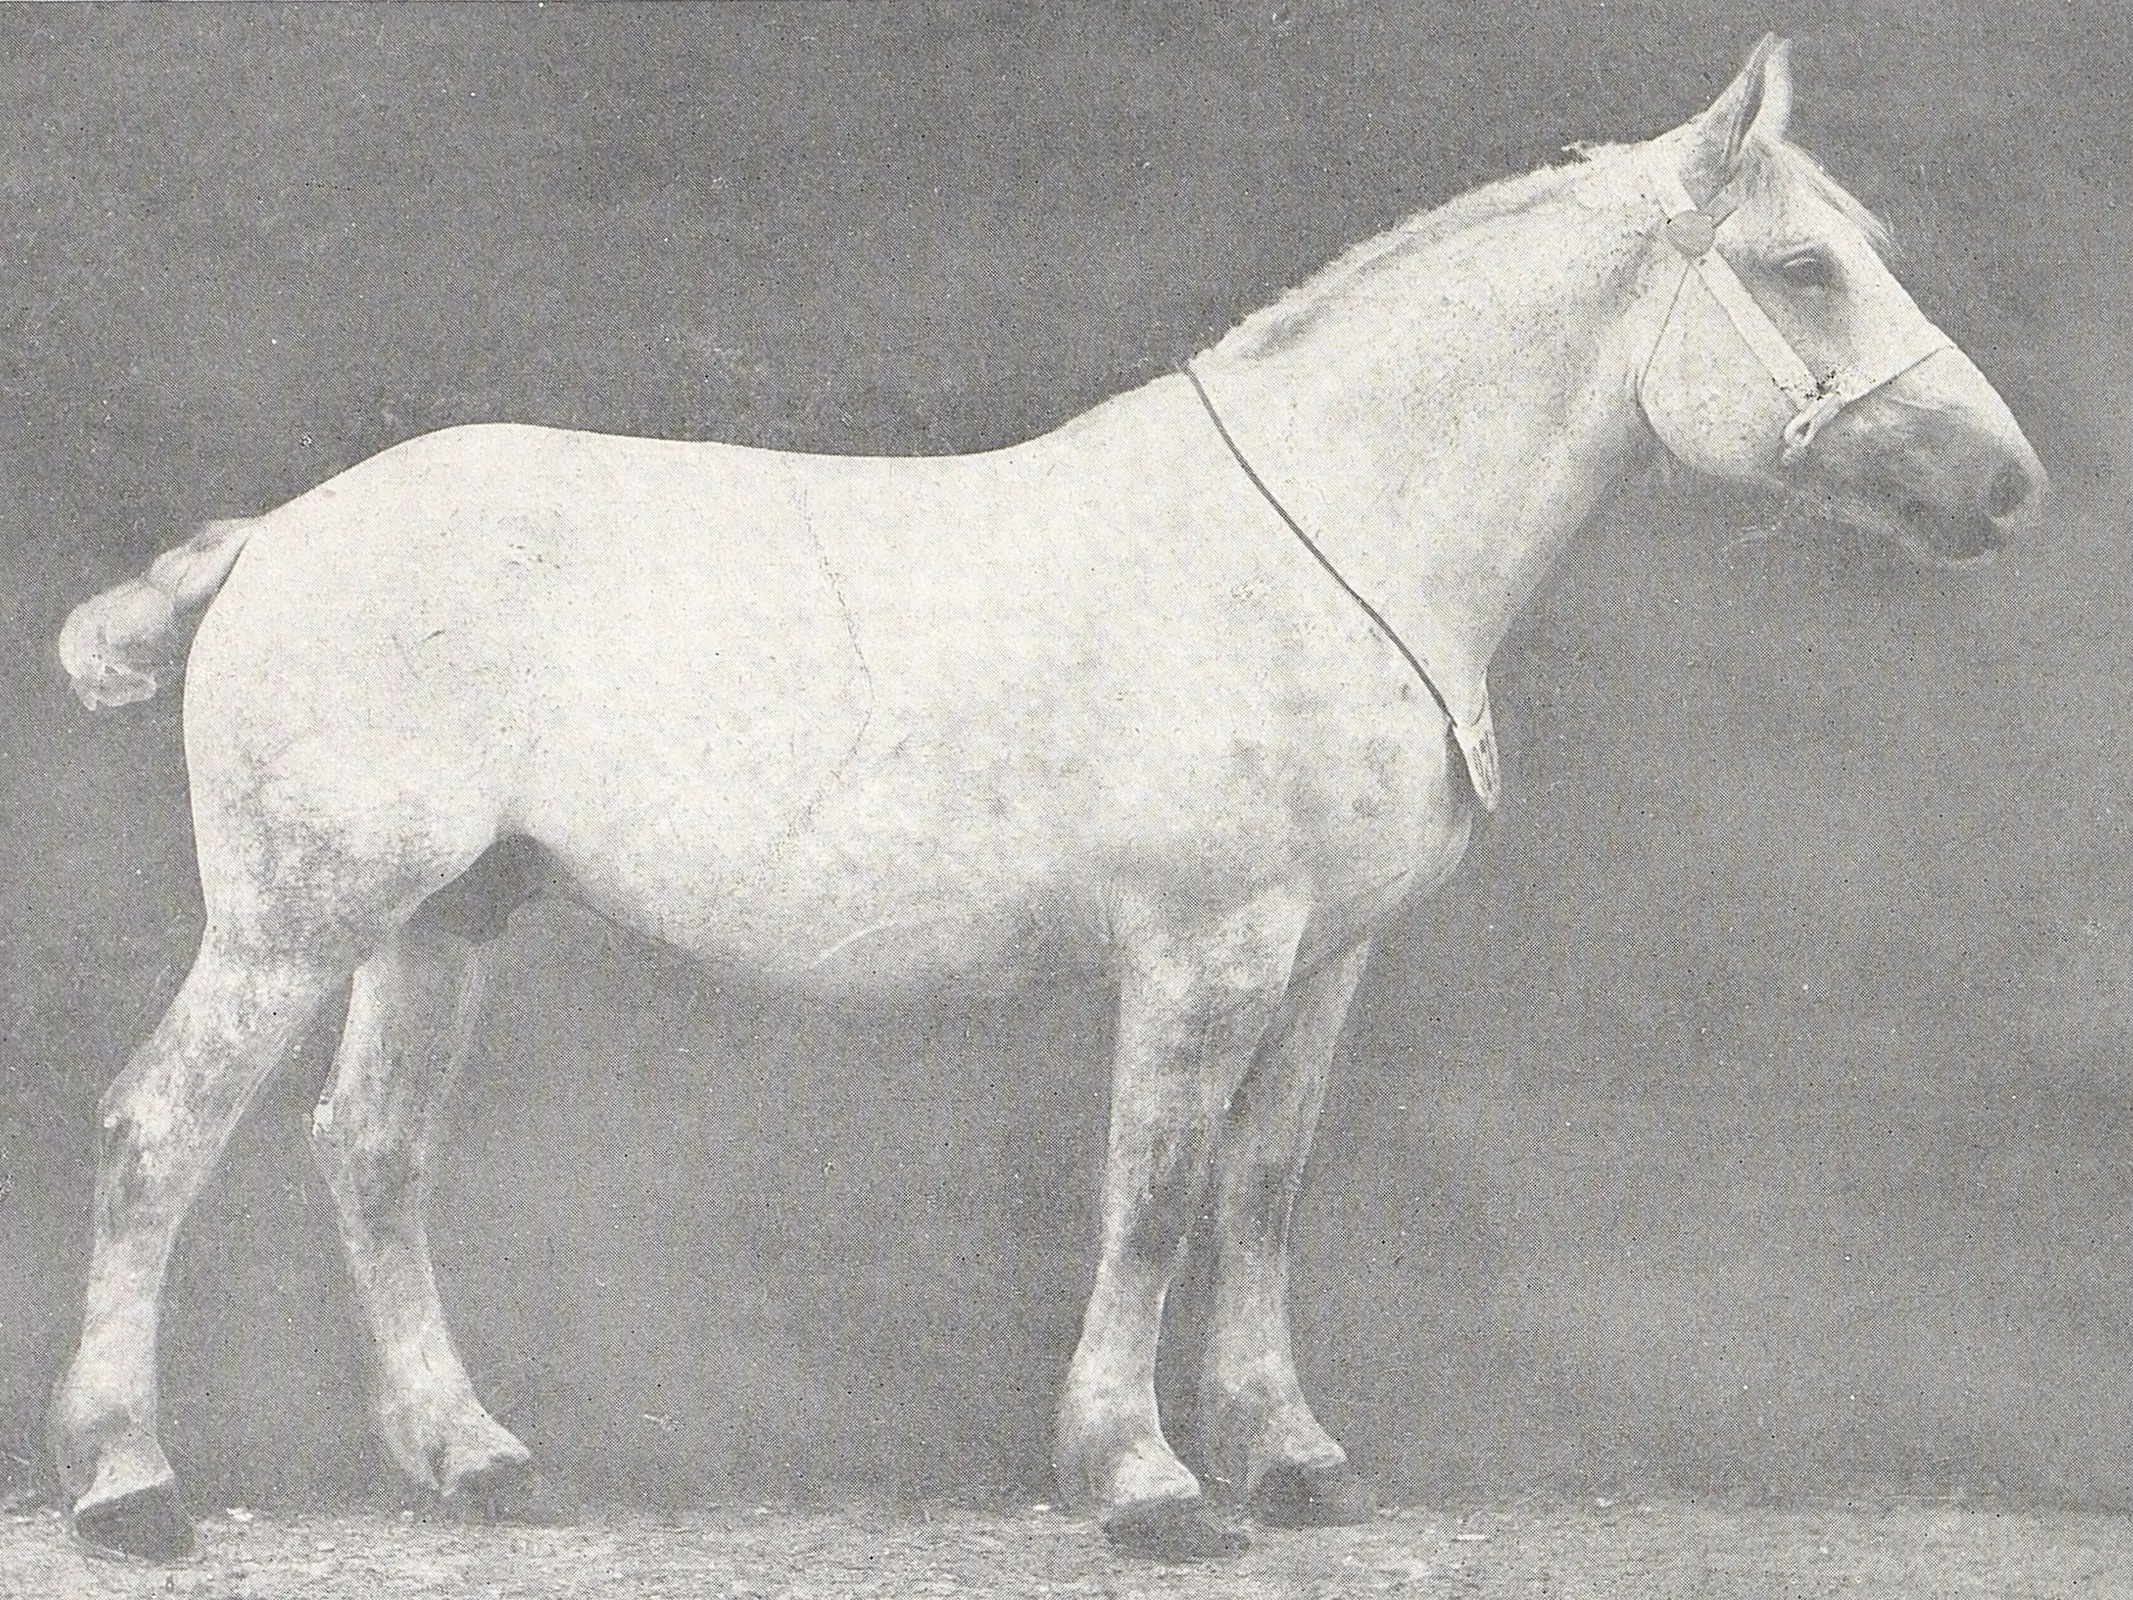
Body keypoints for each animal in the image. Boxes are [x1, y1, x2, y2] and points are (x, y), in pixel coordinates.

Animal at [50, 36, 2042, 1563]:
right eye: (1801, 268)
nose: (2003, 487)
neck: (1320, 536)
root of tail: (274, 535)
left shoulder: (1327, 960)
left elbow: (1259, 1190)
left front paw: (1290, 1461)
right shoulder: (1204, 952)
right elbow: (1151, 1194)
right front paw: (1144, 1483)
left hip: (441, 922)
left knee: (371, 1154)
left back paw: (473, 1461)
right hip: (299, 918)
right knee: (161, 1134)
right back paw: (130, 1489)